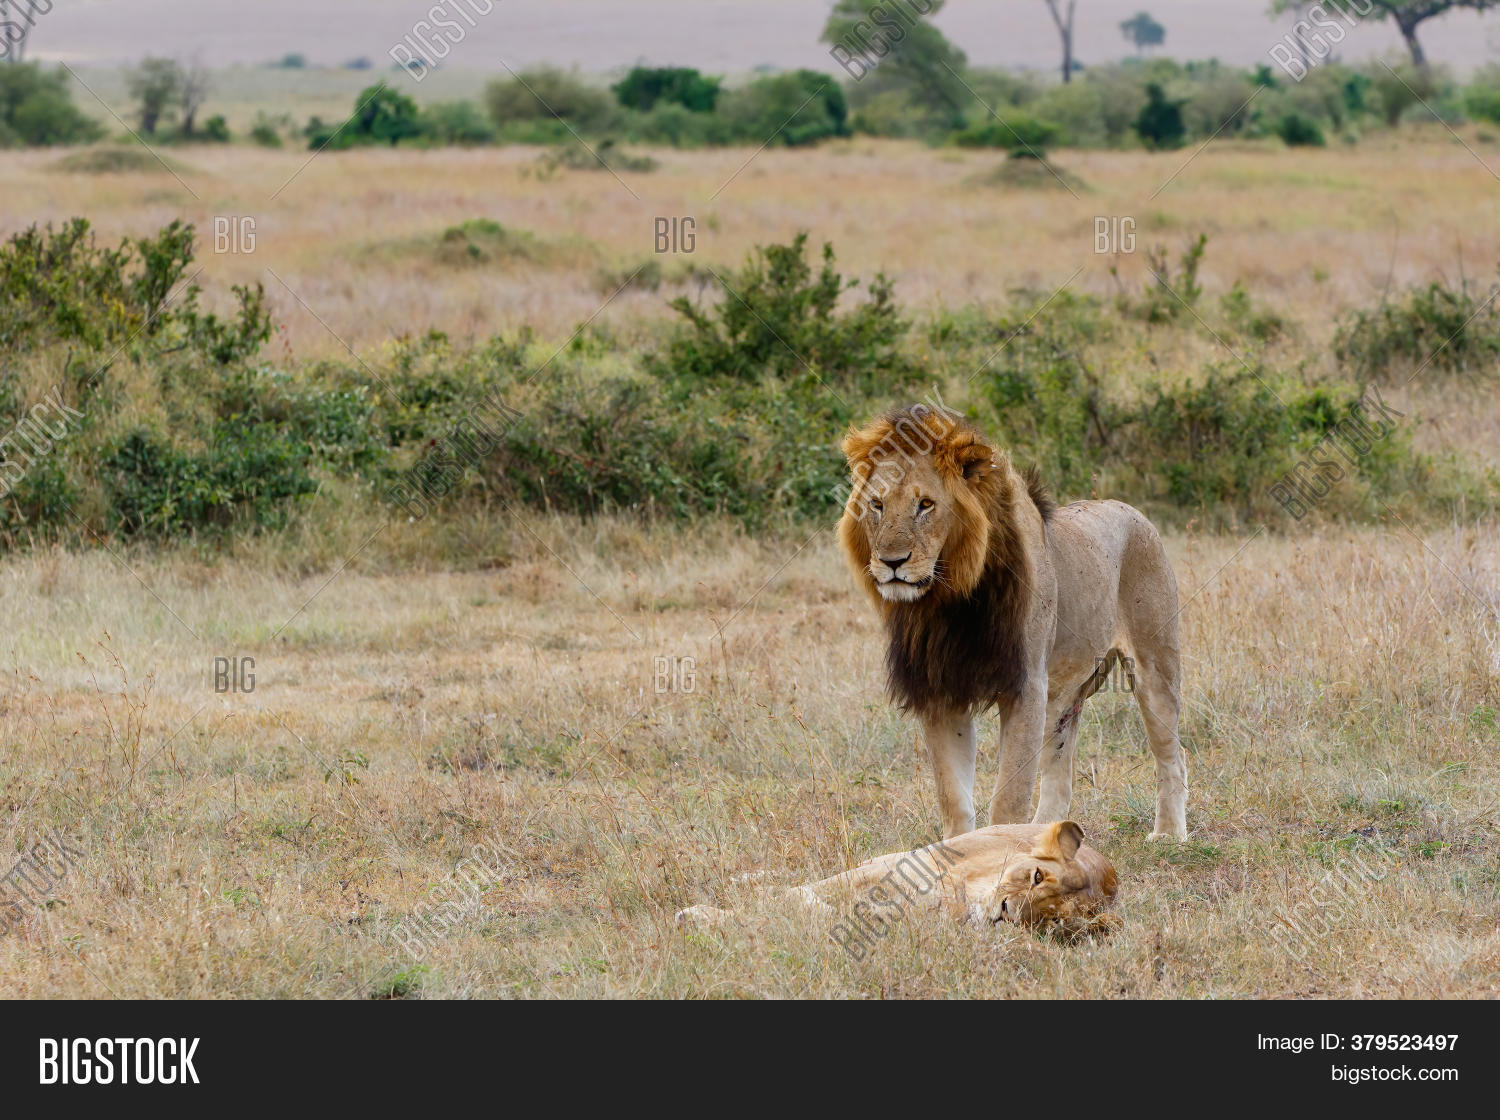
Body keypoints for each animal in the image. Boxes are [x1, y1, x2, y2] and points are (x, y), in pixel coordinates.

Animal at [836, 404, 1188, 841]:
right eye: (877, 505)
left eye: (925, 505)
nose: (892, 562)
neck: (948, 601)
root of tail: (1133, 511)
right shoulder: (940, 692)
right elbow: (954, 799)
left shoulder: (1026, 686)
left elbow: (1008, 798)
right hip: (1062, 696)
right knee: (1061, 772)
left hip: (1154, 667)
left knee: (1171, 754)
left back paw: (1169, 834)